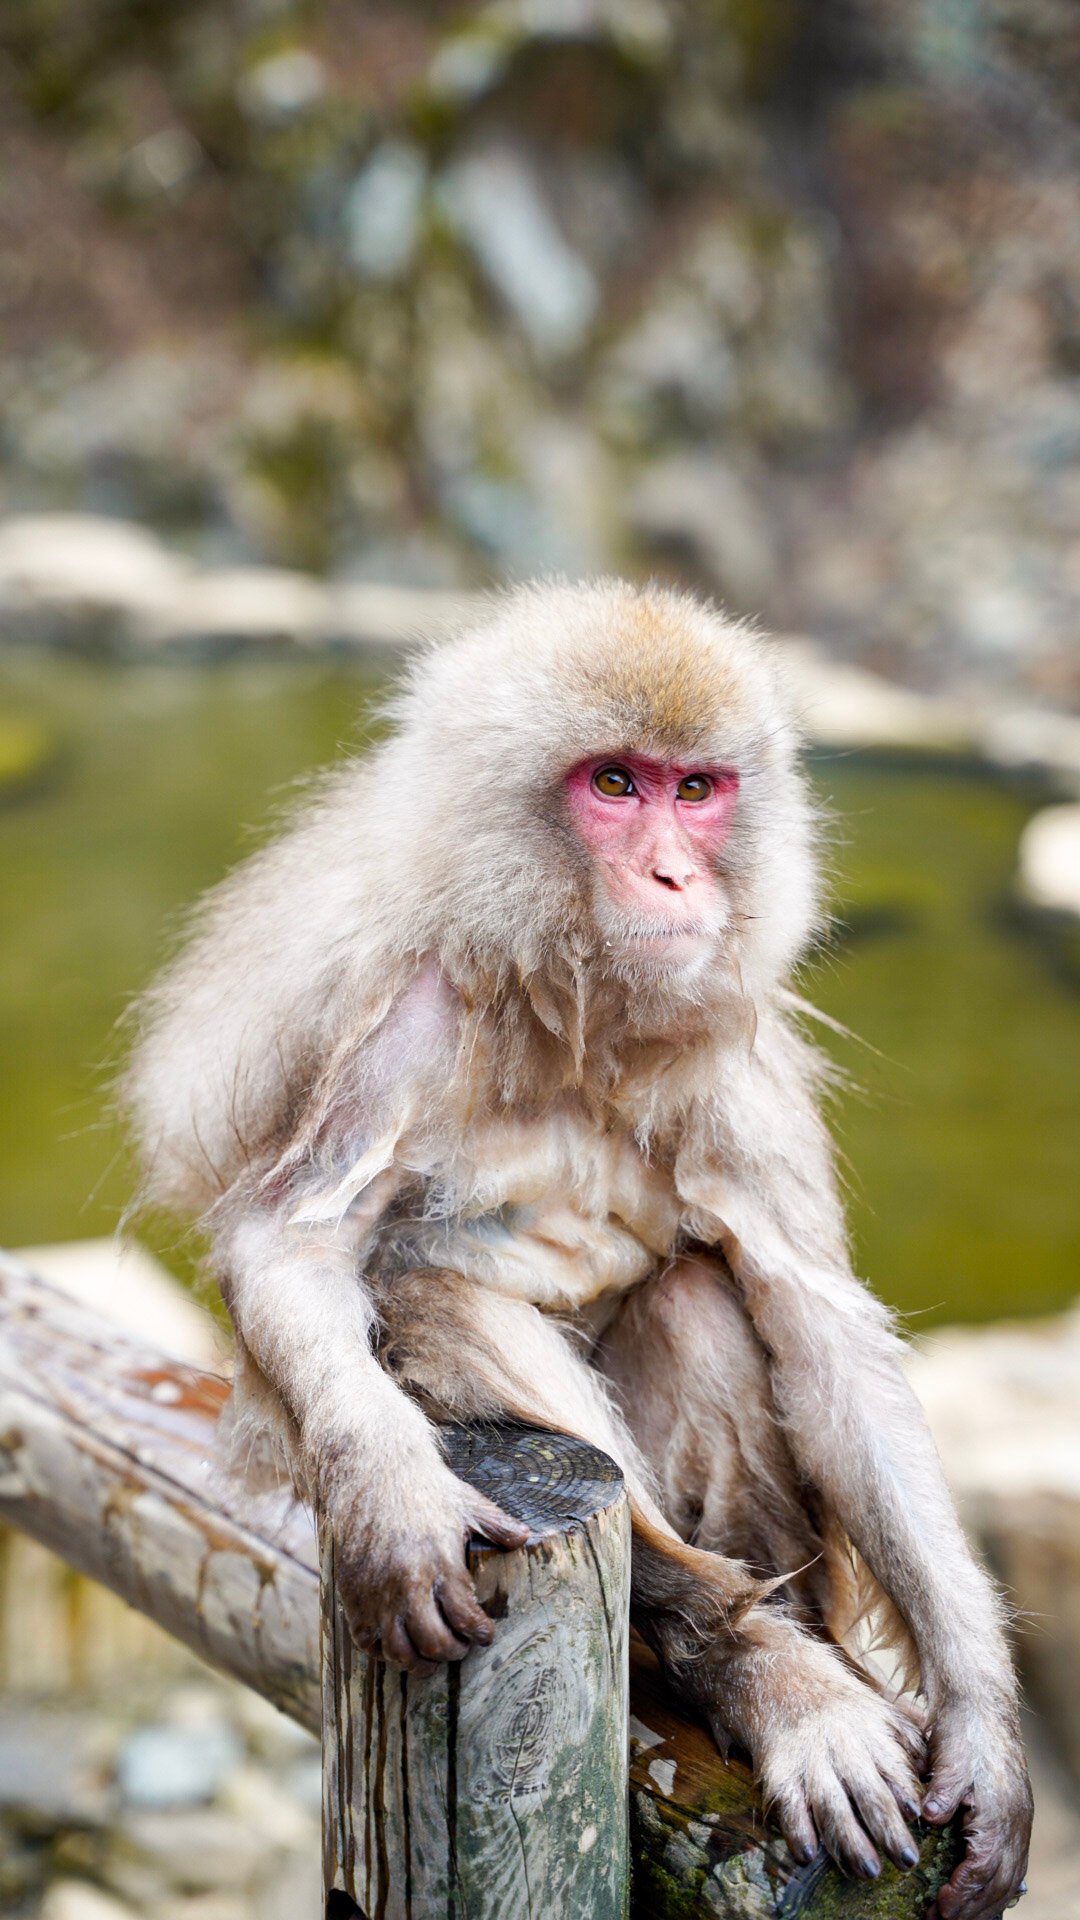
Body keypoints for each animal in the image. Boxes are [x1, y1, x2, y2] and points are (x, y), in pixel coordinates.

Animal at [125, 580, 1031, 1920]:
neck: (580, 1011)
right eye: (614, 783)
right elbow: (292, 1248)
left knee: (699, 1303)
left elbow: (824, 1335)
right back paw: (741, 1657)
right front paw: (393, 1497)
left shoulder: (735, 1054)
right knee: (435, 1300)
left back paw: (764, 1661)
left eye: (695, 790)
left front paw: (985, 1732)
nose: (671, 873)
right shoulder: (412, 1010)